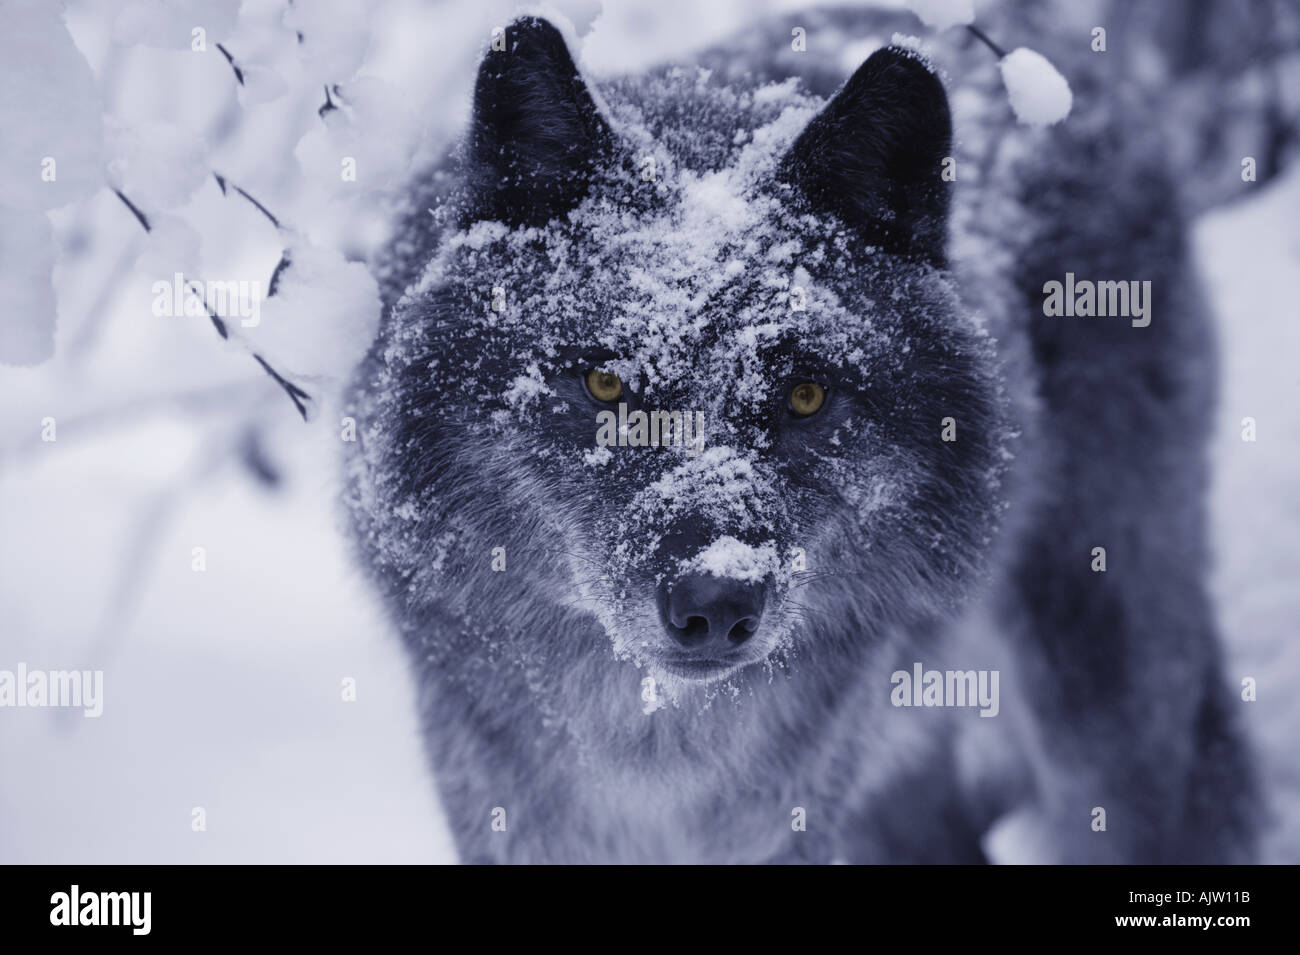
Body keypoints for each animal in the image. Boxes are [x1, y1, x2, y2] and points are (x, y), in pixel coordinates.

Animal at [344, 14, 1258, 863]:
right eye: (604, 383)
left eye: (806, 396)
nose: (715, 599)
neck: (657, 749)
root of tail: (1048, 38)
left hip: (1100, 687)